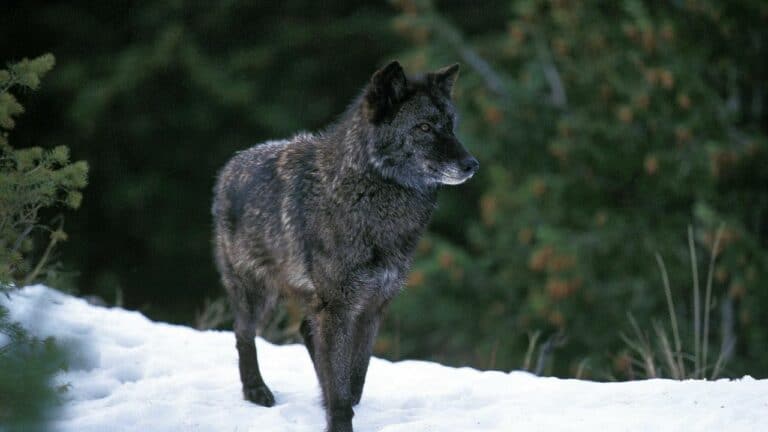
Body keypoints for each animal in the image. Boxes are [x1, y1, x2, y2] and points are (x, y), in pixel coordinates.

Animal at [212, 60, 478, 432]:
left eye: (451, 126)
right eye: (424, 127)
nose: (472, 165)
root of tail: (229, 167)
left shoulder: (373, 306)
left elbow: (355, 376)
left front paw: (345, 404)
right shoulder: (338, 307)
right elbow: (339, 384)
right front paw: (338, 418)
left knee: (304, 331)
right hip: (259, 295)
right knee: (242, 333)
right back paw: (255, 390)